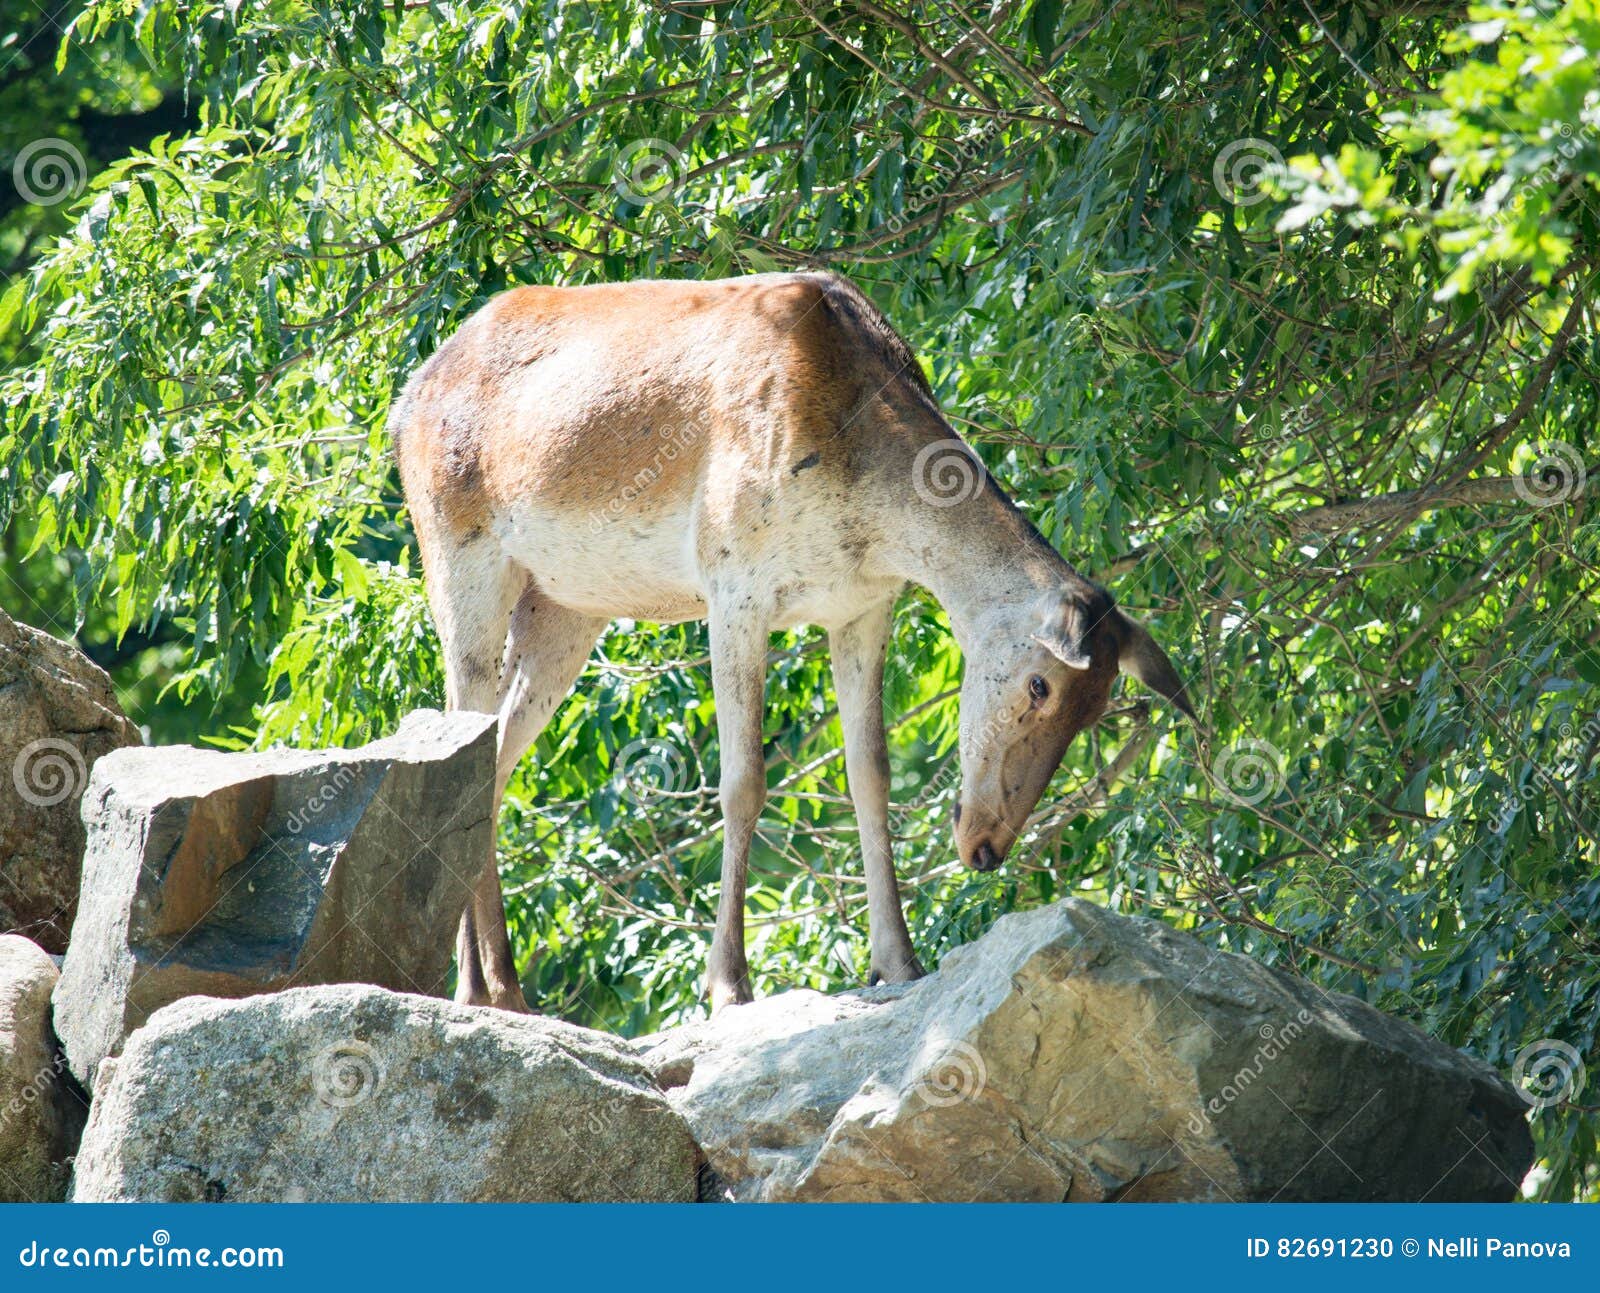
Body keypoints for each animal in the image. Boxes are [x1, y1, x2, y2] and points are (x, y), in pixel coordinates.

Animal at [392, 270, 1194, 1014]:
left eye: (1096, 710)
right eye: (1039, 684)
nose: (986, 845)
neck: (870, 503)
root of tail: (406, 401)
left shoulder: (863, 606)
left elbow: (871, 775)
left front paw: (899, 963)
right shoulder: (732, 585)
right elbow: (744, 781)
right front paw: (728, 986)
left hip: (564, 608)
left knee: (495, 758)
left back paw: (506, 988)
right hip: (458, 555)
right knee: (466, 734)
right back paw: (476, 989)